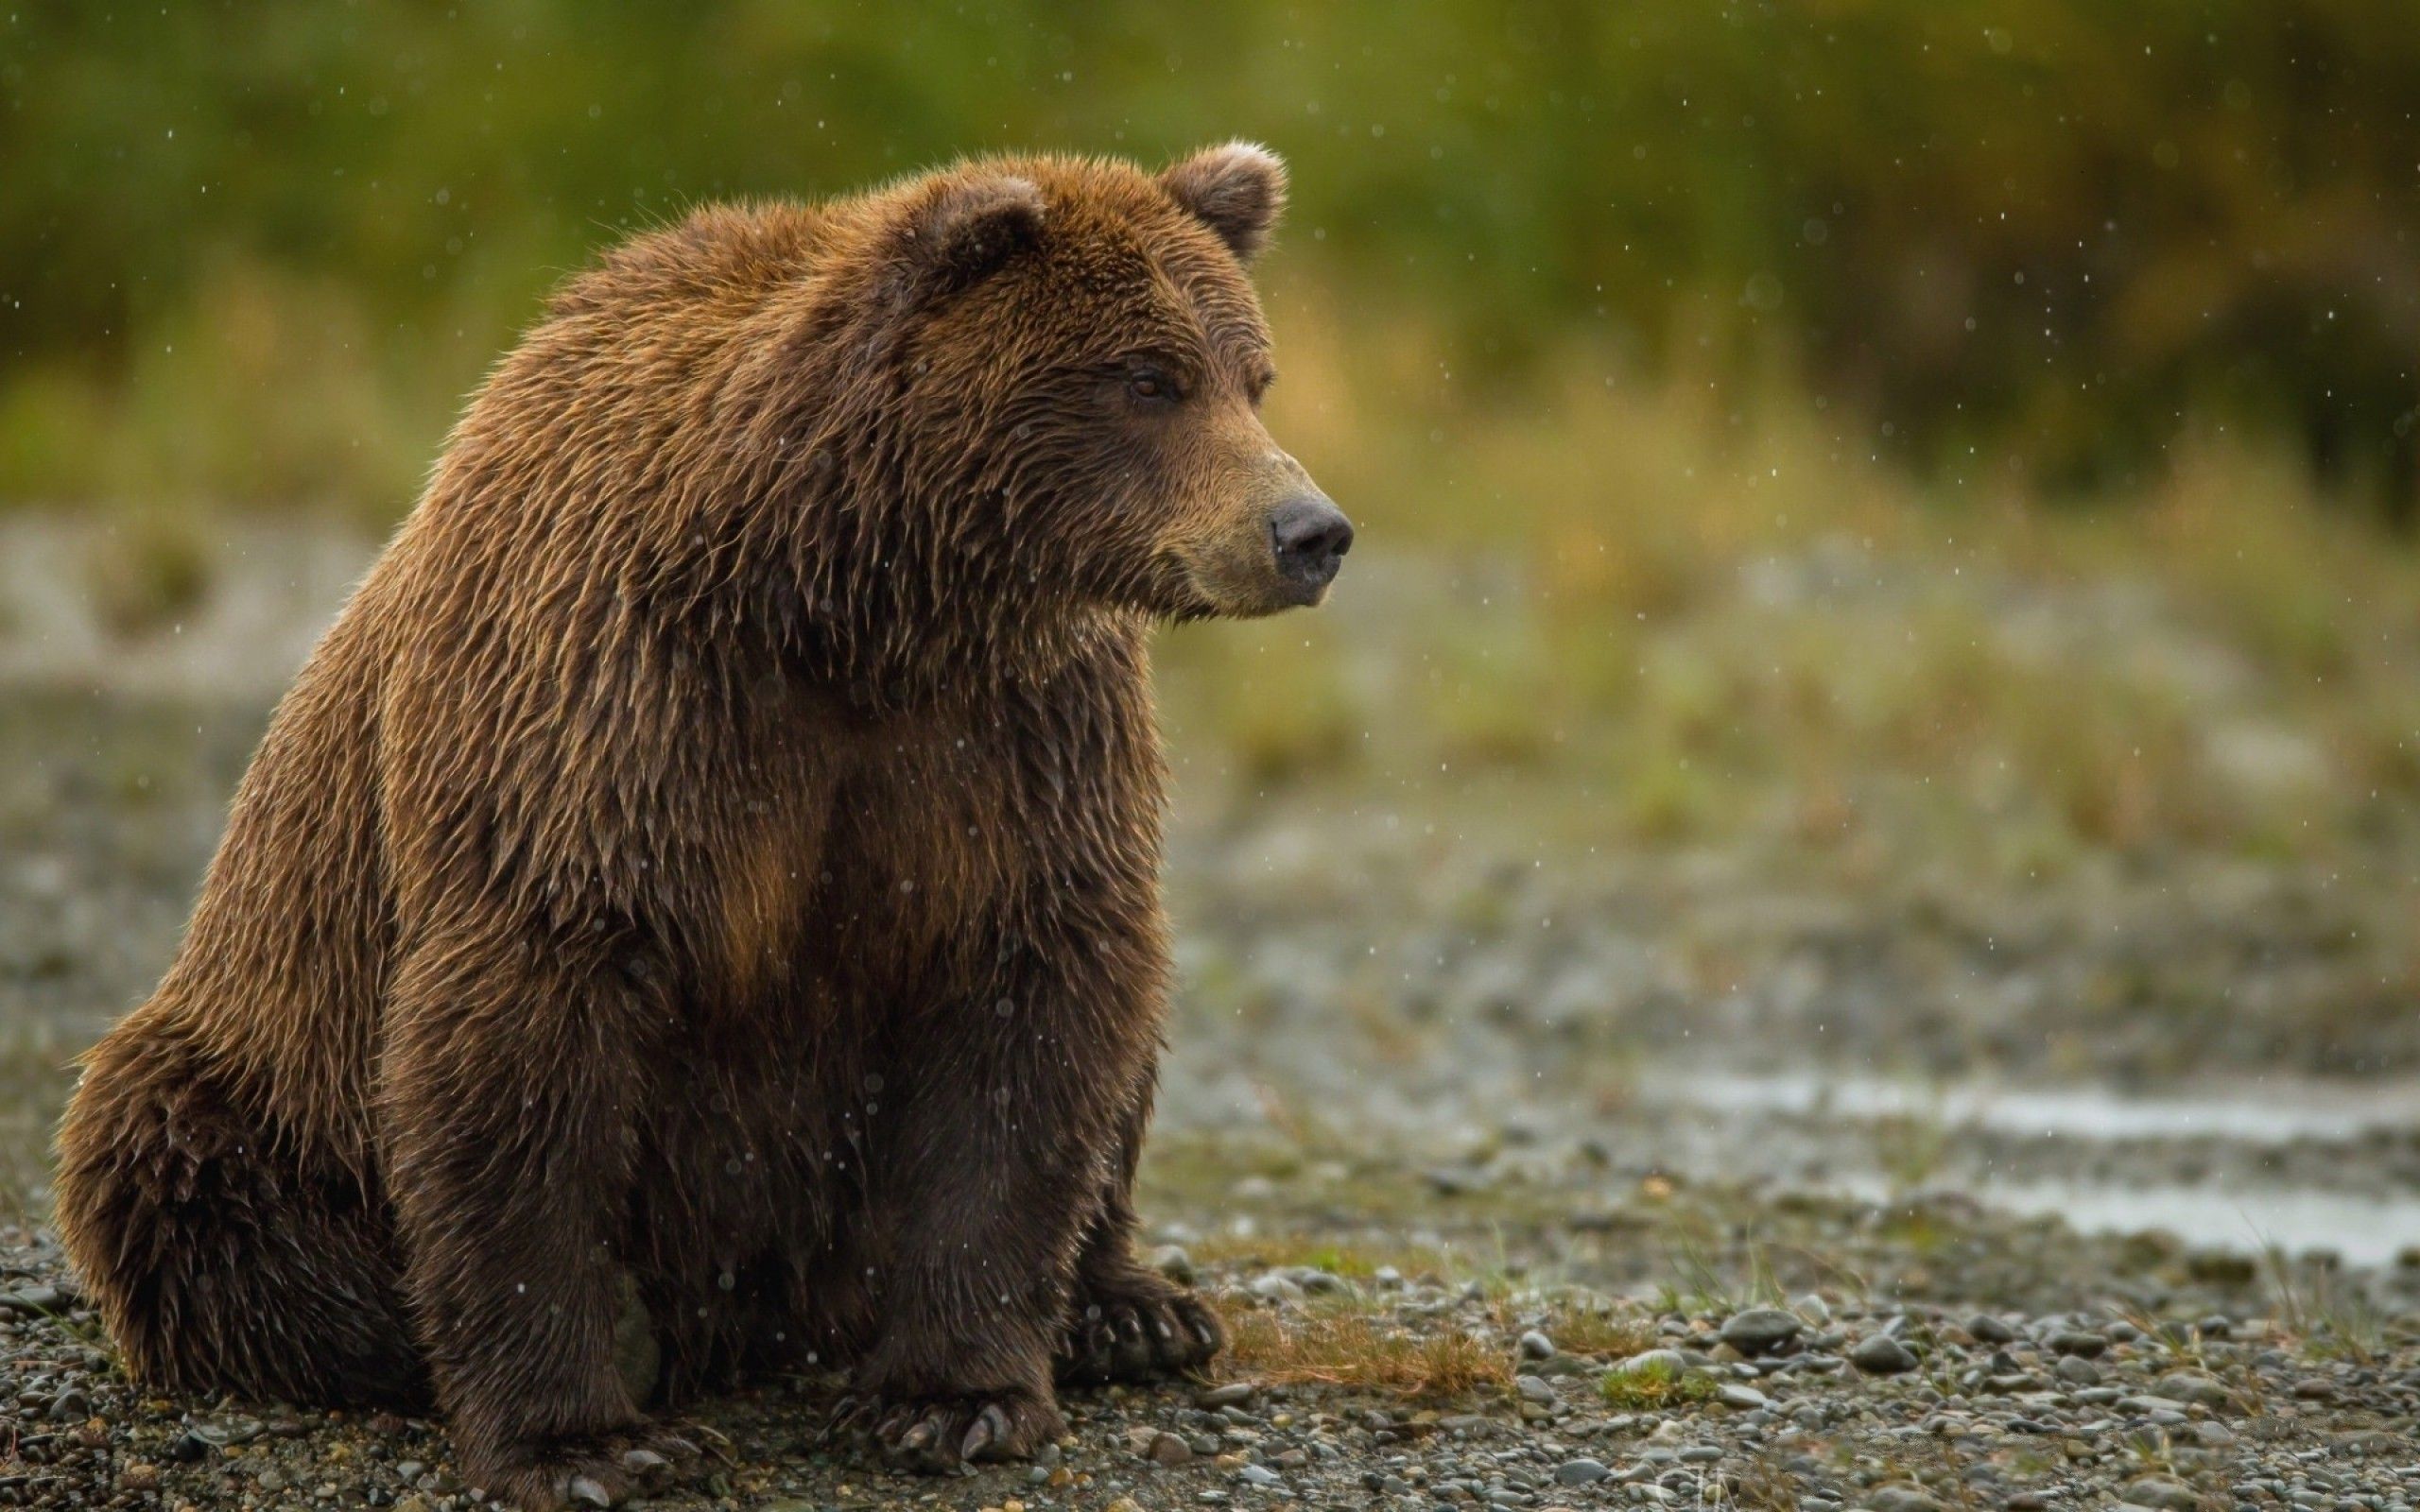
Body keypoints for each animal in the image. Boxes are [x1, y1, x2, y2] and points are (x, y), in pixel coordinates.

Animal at [51, 144, 1350, 1510]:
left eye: (1251, 375)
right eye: (1149, 378)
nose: (1308, 531)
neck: (851, 605)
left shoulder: (1012, 741)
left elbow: (1028, 1013)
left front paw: (958, 1396)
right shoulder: (607, 711)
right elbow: (528, 1041)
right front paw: (586, 1439)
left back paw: (1131, 1310)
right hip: (254, 1080)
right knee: (183, 1179)